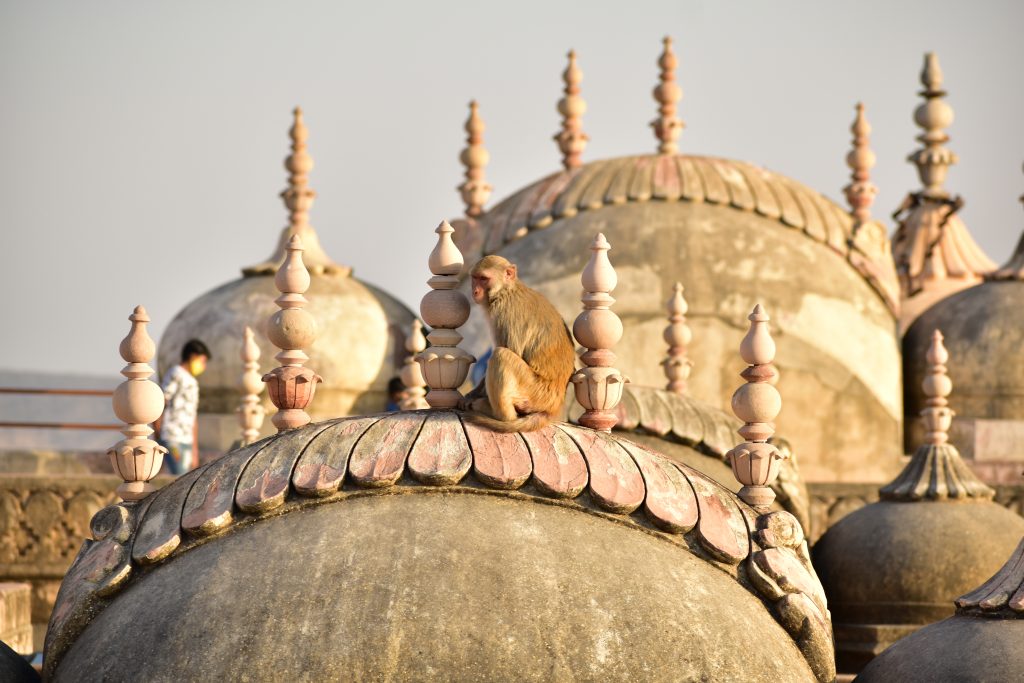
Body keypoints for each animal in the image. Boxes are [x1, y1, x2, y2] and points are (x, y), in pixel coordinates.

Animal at [459, 255, 577, 432]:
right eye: (475, 278)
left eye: (484, 279)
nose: (475, 291)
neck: (506, 290)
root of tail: (554, 407)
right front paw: (471, 394)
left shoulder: (503, 312)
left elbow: (510, 349)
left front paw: (474, 397)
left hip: (535, 392)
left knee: (501, 355)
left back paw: (497, 414)